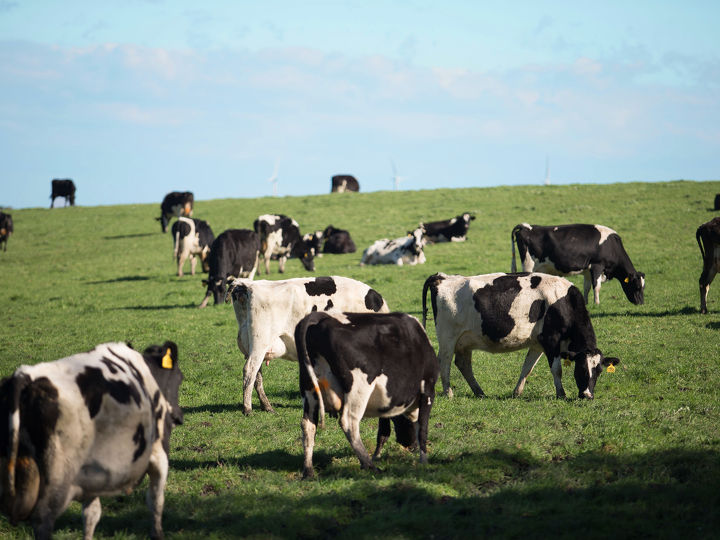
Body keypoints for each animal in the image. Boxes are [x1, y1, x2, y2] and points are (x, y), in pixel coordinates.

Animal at [0, 341, 184, 540]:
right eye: (179, 377)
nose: (178, 417)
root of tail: (24, 377)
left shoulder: (91, 473)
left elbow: (91, 515)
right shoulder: (159, 453)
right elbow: (156, 499)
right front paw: (157, 534)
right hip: (57, 479)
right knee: (43, 521)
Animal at [225, 275, 389, 415]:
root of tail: (247, 285)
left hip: (253, 346)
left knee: (257, 376)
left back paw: (267, 406)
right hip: (260, 342)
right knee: (250, 371)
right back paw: (247, 409)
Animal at [295, 311, 438, 478]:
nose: (410, 446)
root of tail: (322, 317)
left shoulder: (386, 401)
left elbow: (384, 430)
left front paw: (377, 455)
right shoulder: (428, 390)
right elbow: (422, 428)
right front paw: (424, 461)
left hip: (309, 389)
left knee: (308, 425)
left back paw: (308, 471)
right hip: (358, 389)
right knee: (349, 423)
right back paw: (369, 465)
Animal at [422, 272, 620, 400]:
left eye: (599, 371)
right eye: (581, 368)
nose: (587, 395)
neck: (563, 302)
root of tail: (442, 277)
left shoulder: (537, 344)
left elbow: (527, 368)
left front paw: (517, 392)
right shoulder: (551, 341)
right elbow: (557, 369)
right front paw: (561, 394)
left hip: (464, 341)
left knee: (463, 364)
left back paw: (479, 392)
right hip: (448, 338)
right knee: (445, 362)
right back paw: (448, 393)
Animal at [511, 223, 645, 305]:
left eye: (643, 287)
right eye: (637, 286)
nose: (641, 303)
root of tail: (527, 226)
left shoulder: (587, 271)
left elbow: (587, 287)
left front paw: (586, 303)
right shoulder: (597, 266)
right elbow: (597, 287)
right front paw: (597, 303)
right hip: (528, 264)